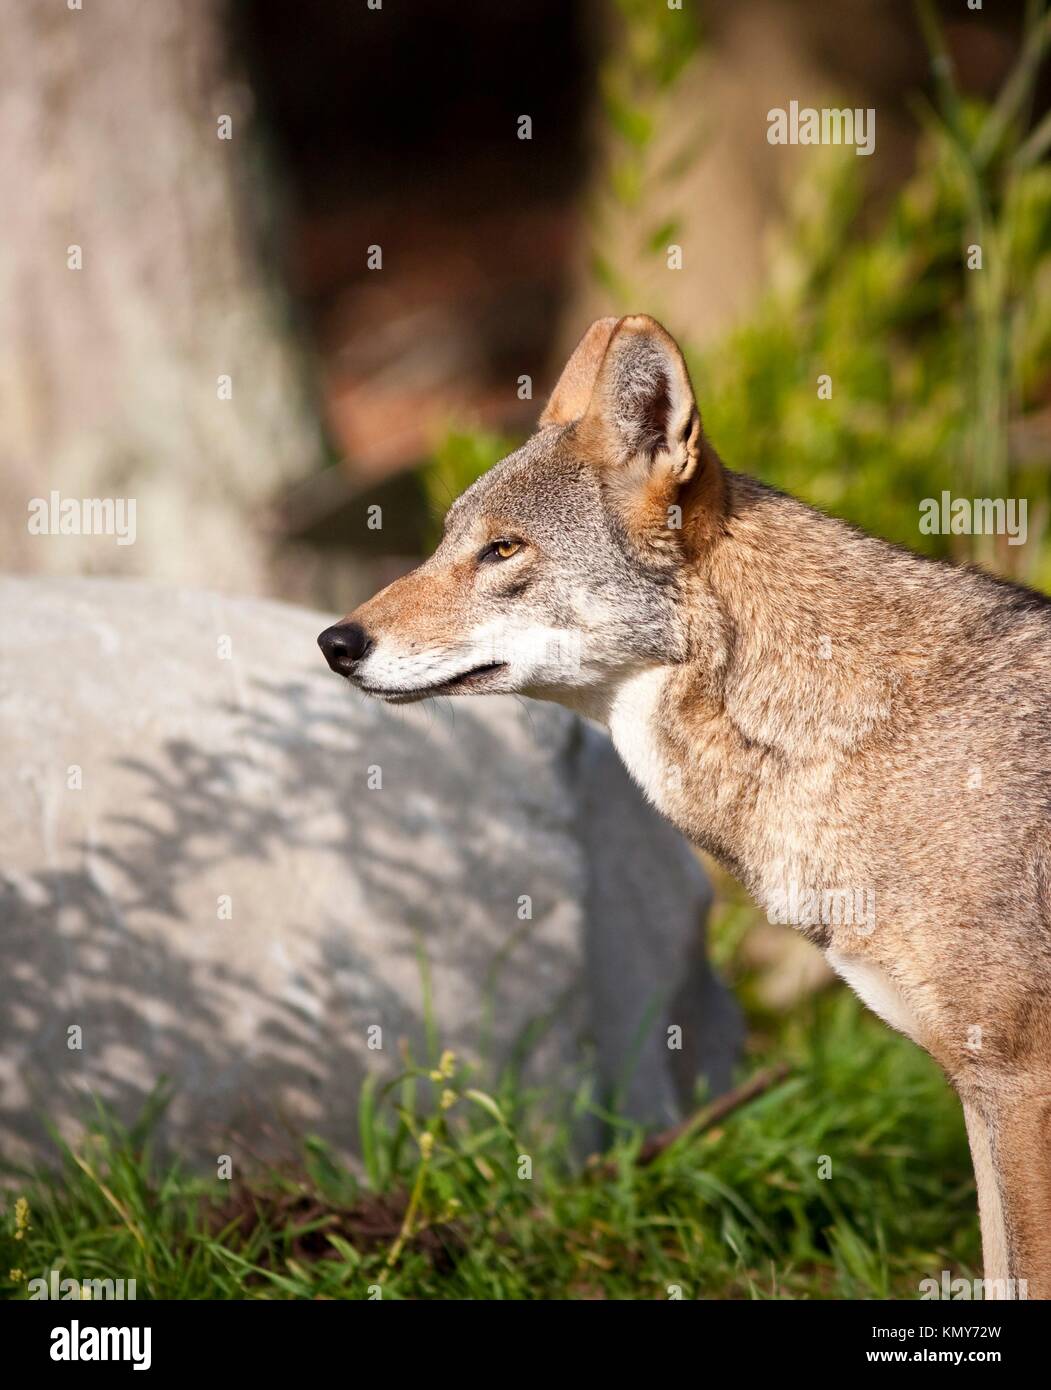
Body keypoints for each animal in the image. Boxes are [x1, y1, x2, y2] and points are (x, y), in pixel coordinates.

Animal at [319, 314, 1051, 1297]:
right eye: (443, 544)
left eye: (503, 550)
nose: (334, 641)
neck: (855, 733)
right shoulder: (978, 1091)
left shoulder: (1017, 1082)